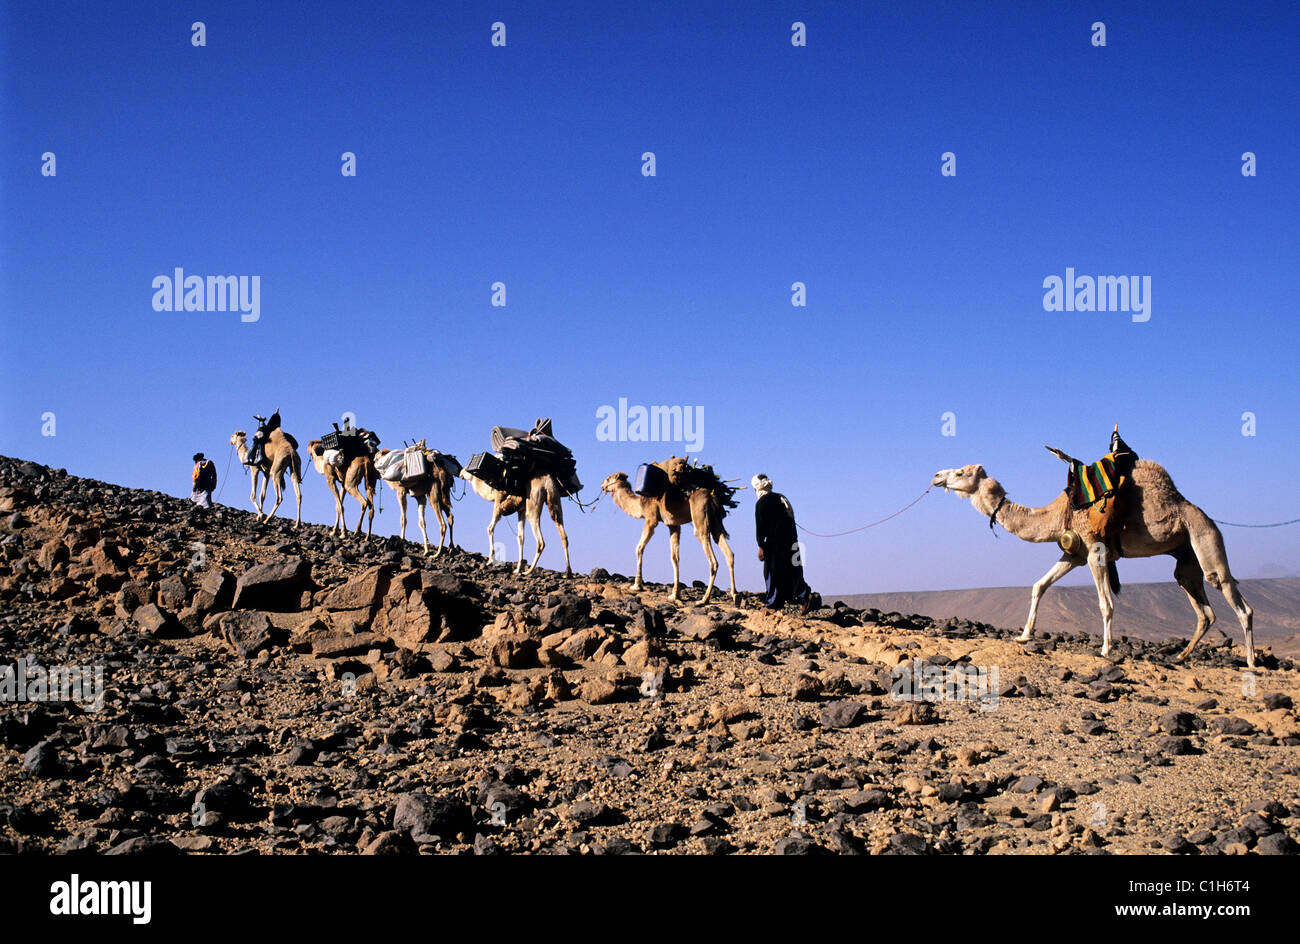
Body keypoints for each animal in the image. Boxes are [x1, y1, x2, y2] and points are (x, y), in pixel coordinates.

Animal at [600, 472, 737, 605]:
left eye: (608, 478)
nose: (602, 486)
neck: (640, 504)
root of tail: (711, 497)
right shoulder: (673, 524)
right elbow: (674, 557)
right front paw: (674, 594)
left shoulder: (651, 519)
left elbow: (639, 548)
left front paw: (636, 586)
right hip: (716, 523)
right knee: (728, 552)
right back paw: (735, 595)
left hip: (700, 519)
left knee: (712, 560)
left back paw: (704, 599)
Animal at [931, 459, 1255, 667]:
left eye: (960, 472)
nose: (936, 476)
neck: (1058, 511)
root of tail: (1203, 514)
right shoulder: (1073, 553)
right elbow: (1039, 586)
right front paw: (1023, 636)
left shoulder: (1095, 550)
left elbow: (1105, 603)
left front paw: (1105, 649)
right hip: (1185, 556)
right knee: (1203, 609)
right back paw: (1181, 656)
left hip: (1204, 535)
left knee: (1233, 595)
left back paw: (1251, 661)